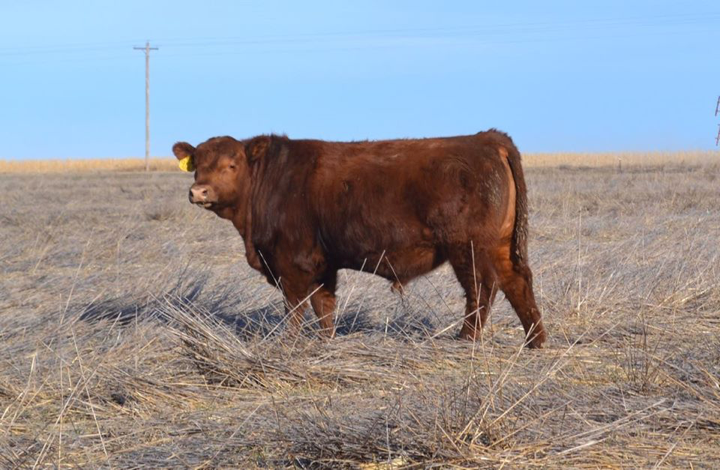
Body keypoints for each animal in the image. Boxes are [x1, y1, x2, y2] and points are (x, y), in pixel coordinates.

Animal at [172, 130, 547, 348]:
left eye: (232, 164)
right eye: (197, 164)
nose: (199, 191)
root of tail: (487, 138)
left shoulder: (291, 262)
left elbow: (295, 307)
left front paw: (288, 344)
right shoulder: (322, 264)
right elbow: (323, 306)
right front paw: (326, 343)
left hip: (468, 247)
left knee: (481, 288)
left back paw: (466, 339)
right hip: (498, 245)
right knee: (517, 281)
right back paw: (535, 340)